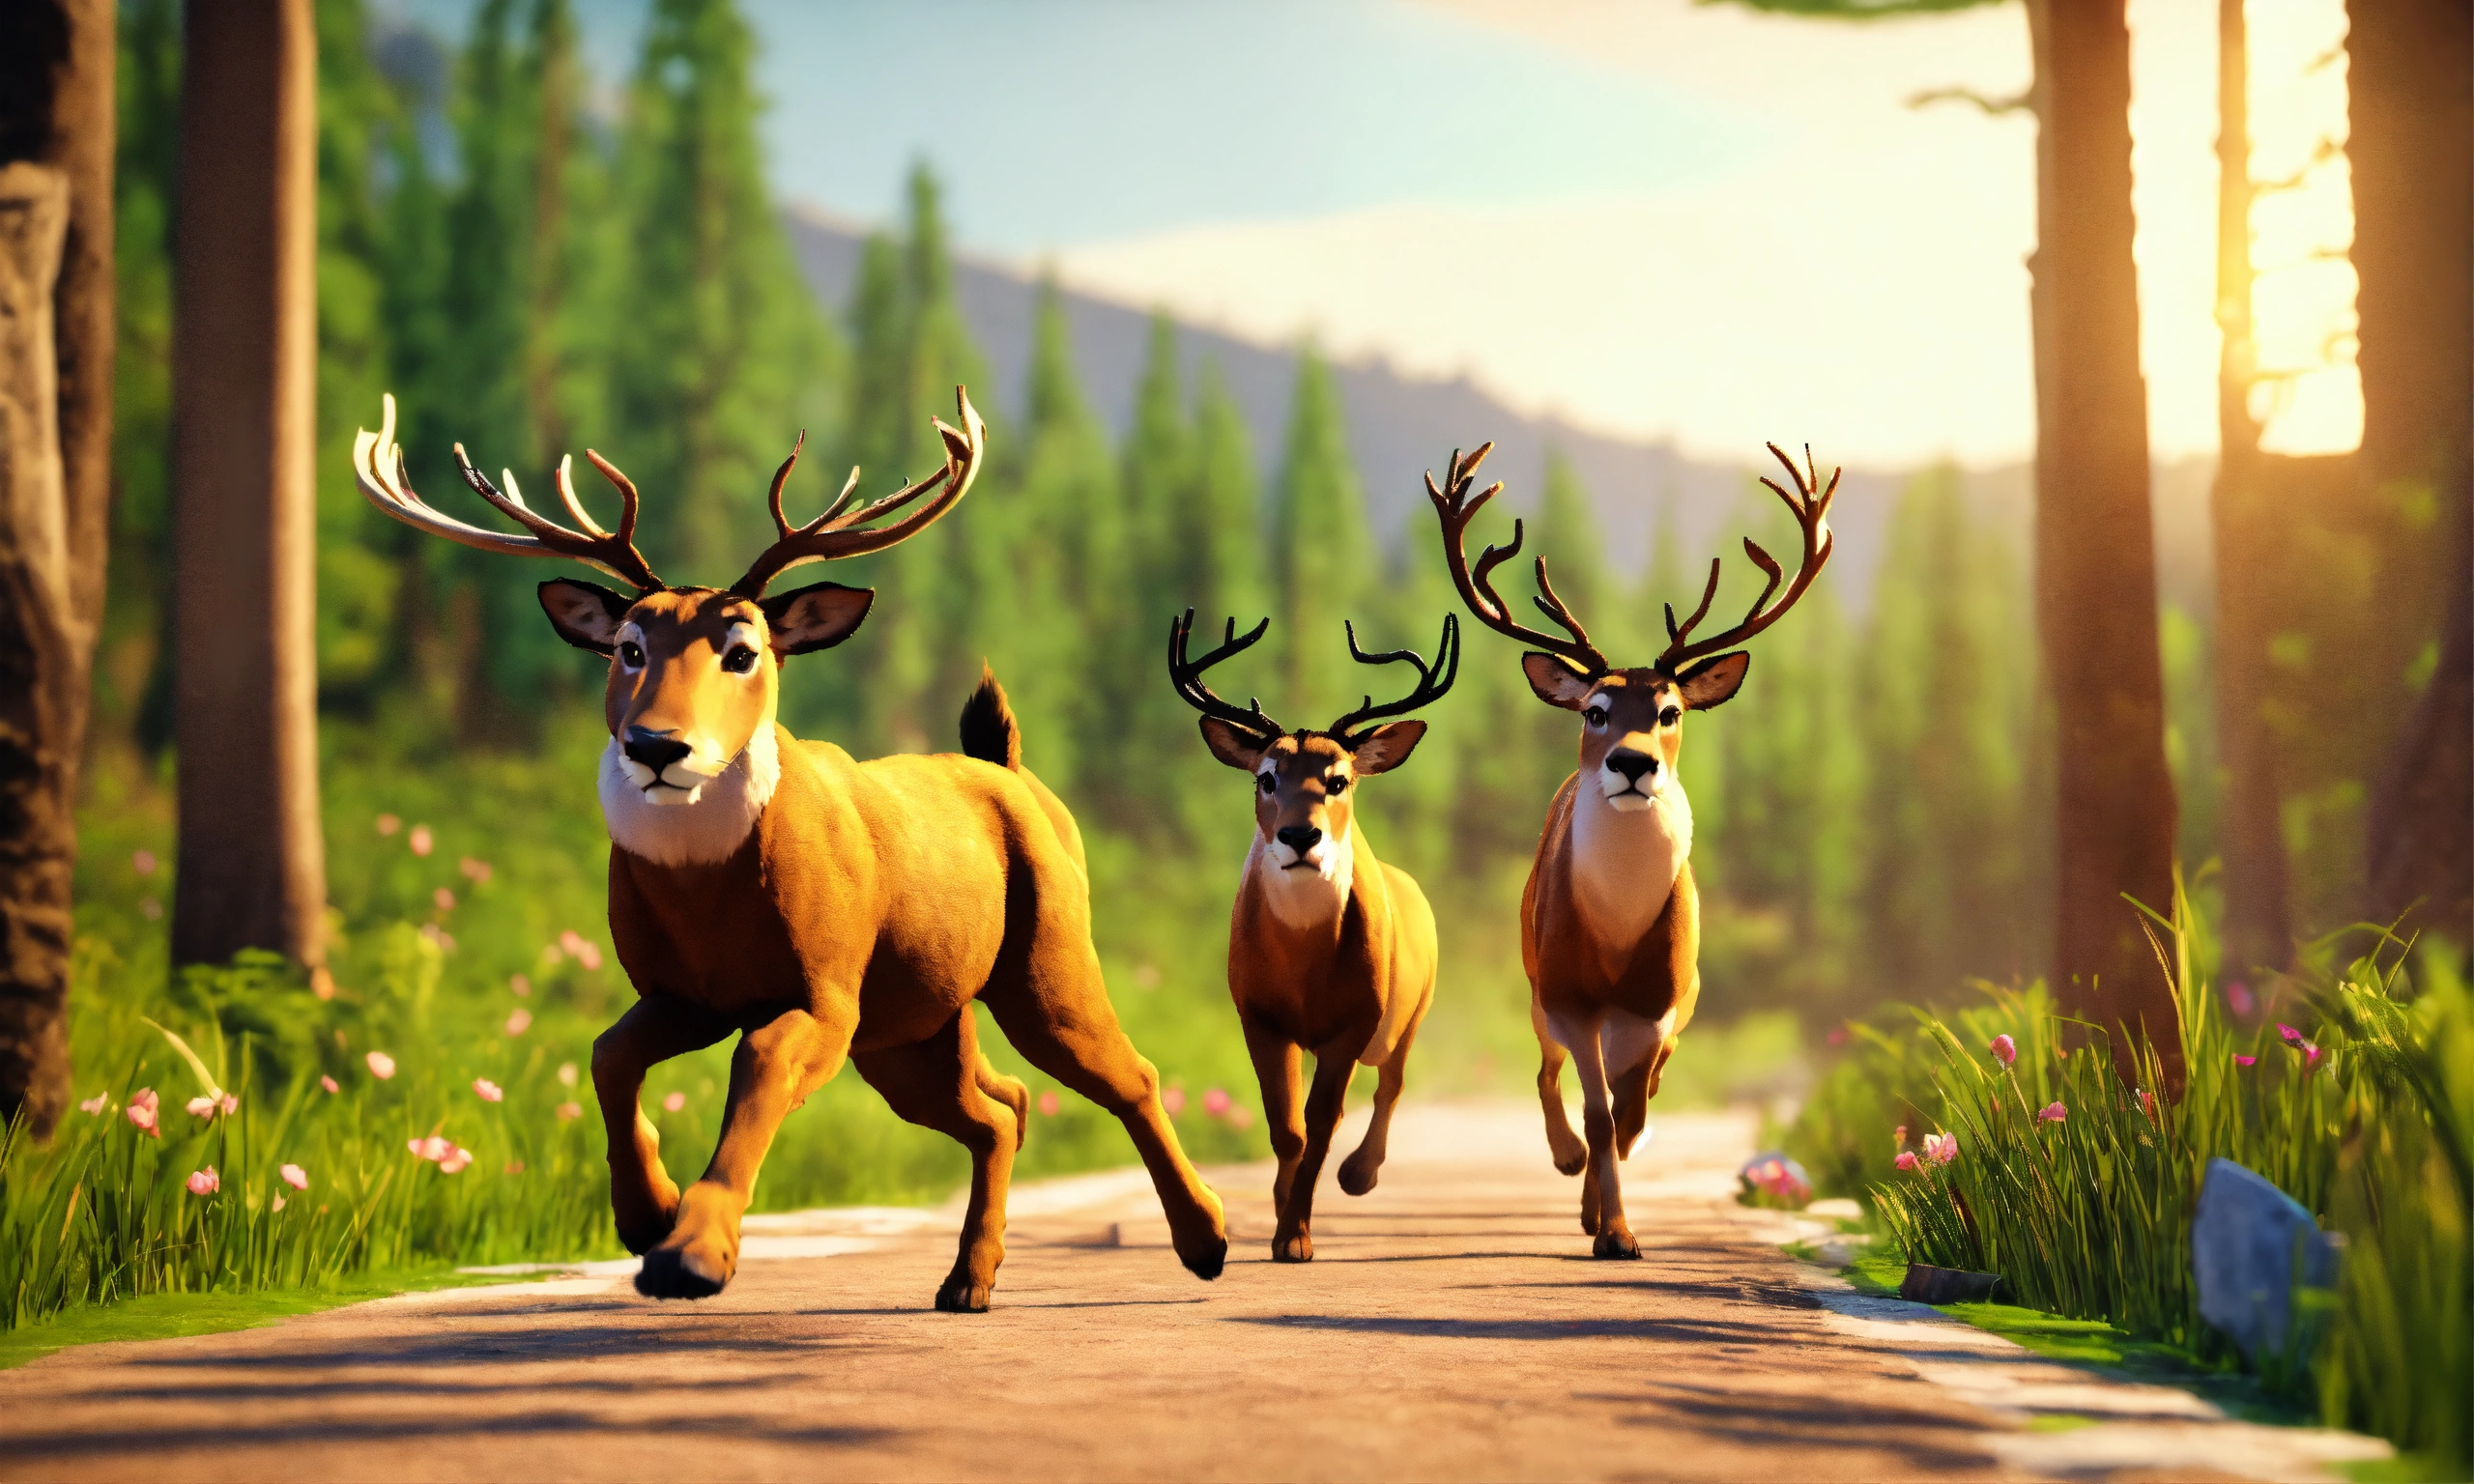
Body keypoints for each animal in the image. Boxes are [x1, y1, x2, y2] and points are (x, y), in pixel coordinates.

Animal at [349, 388, 1227, 1309]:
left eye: (743, 651)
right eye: (628, 648)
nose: (657, 745)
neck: (709, 899)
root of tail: (1012, 771)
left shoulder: (828, 988)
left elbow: (759, 1064)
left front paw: (692, 1252)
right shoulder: (683, 991)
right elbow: (608, 1053)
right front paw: (645, 1213)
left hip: (1043, 958)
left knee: (1127, 1075)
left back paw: (1206, 1241)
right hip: (912, 1024)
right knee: (1000, 1109)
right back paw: (968, 1280)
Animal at [1167, 608, 1457, 1262]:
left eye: (1339, 779)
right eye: (1266, 777)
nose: (1301, 836)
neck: (1303, 966)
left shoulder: (1354, 1020)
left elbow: (1323, 1122)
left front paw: (1296, 1235)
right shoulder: (1258, 1013)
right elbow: (1287, 1128)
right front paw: (1282, 1222)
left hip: (1417, 1006)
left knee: (1391, 1083)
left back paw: (1360, 1174)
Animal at [1427, 440, 1837, 1259]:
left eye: (1672, 710)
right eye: (1595, 709)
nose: (1632, 762)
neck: (1615, 929)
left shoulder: (1658, 1003)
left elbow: (1633, 1109)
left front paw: (1613, 1219)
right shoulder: (1571, 995)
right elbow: (1595, 1111)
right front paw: (1612, 1227)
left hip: (1681, 1001)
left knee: (1634, 1091)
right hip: (1539, 987)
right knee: (1549, 1077)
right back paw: (1569, 1166)